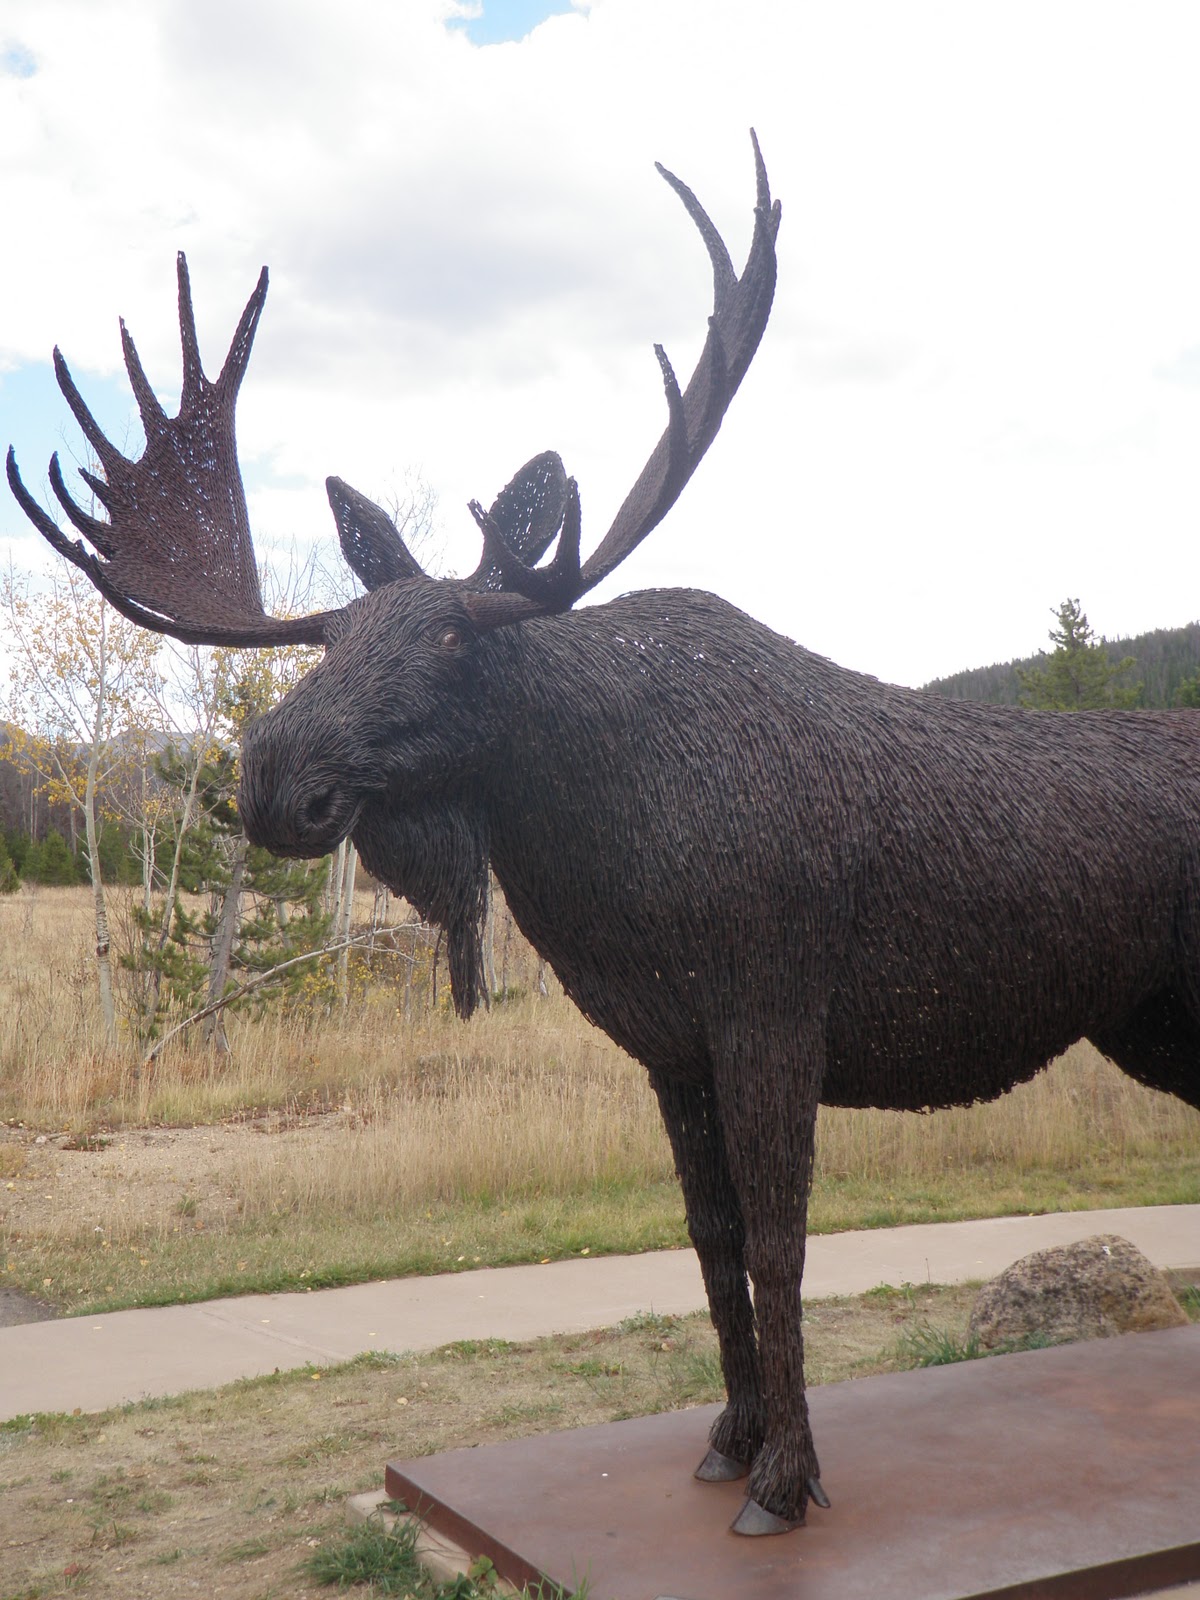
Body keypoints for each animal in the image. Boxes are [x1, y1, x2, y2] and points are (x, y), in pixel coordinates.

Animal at [9, 136, 1200, 1536]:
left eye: (455, 637)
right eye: (332, 636)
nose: (273, 779)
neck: (603, 858)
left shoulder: (770, 1011)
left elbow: (782, 1240)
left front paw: (788, 1481)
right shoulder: (669, 1044)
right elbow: (711, 1238)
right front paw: (732, 1438)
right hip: (1148, 1021)